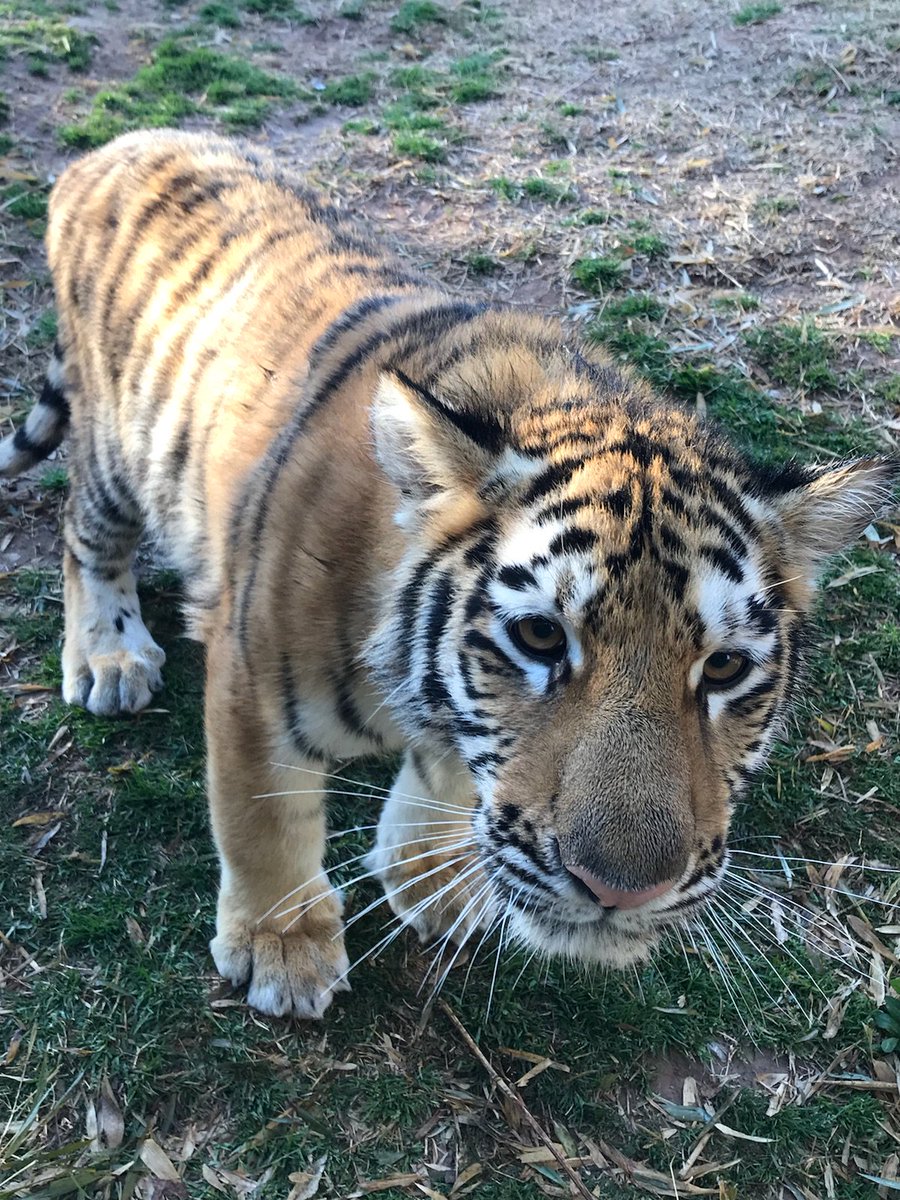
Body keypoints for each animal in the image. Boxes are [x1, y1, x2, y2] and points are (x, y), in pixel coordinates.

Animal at [1, 129, 896, 1019]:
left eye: (725, 668)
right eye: (540, 637)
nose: (623, 891)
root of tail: (123, 142)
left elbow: (448, 774)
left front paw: (430, 875)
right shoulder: (249, 677)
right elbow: (264, 816)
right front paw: (281, 947)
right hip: (118, 446)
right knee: (83, 531)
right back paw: (111, 656)